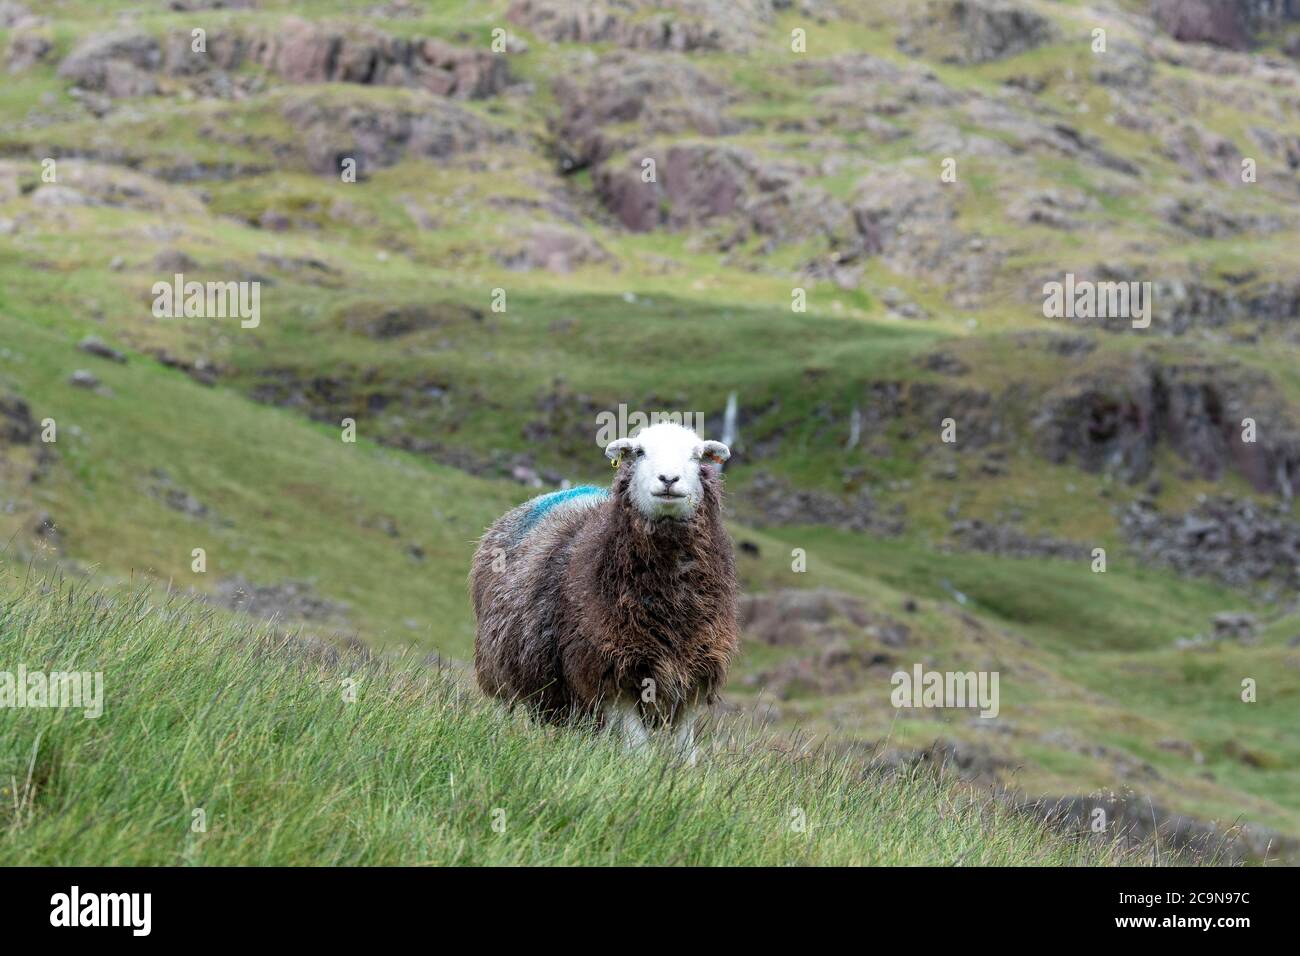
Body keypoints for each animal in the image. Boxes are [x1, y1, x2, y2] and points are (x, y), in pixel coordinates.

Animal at [470, 421, 738, 761]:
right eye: (639, 452)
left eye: (697, 455)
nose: (668, 479)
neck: (669, 602)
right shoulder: (608, 671)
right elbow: (639, 750)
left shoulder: (696, 672)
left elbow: (684, 748)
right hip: (498, 667)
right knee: (501, 709)